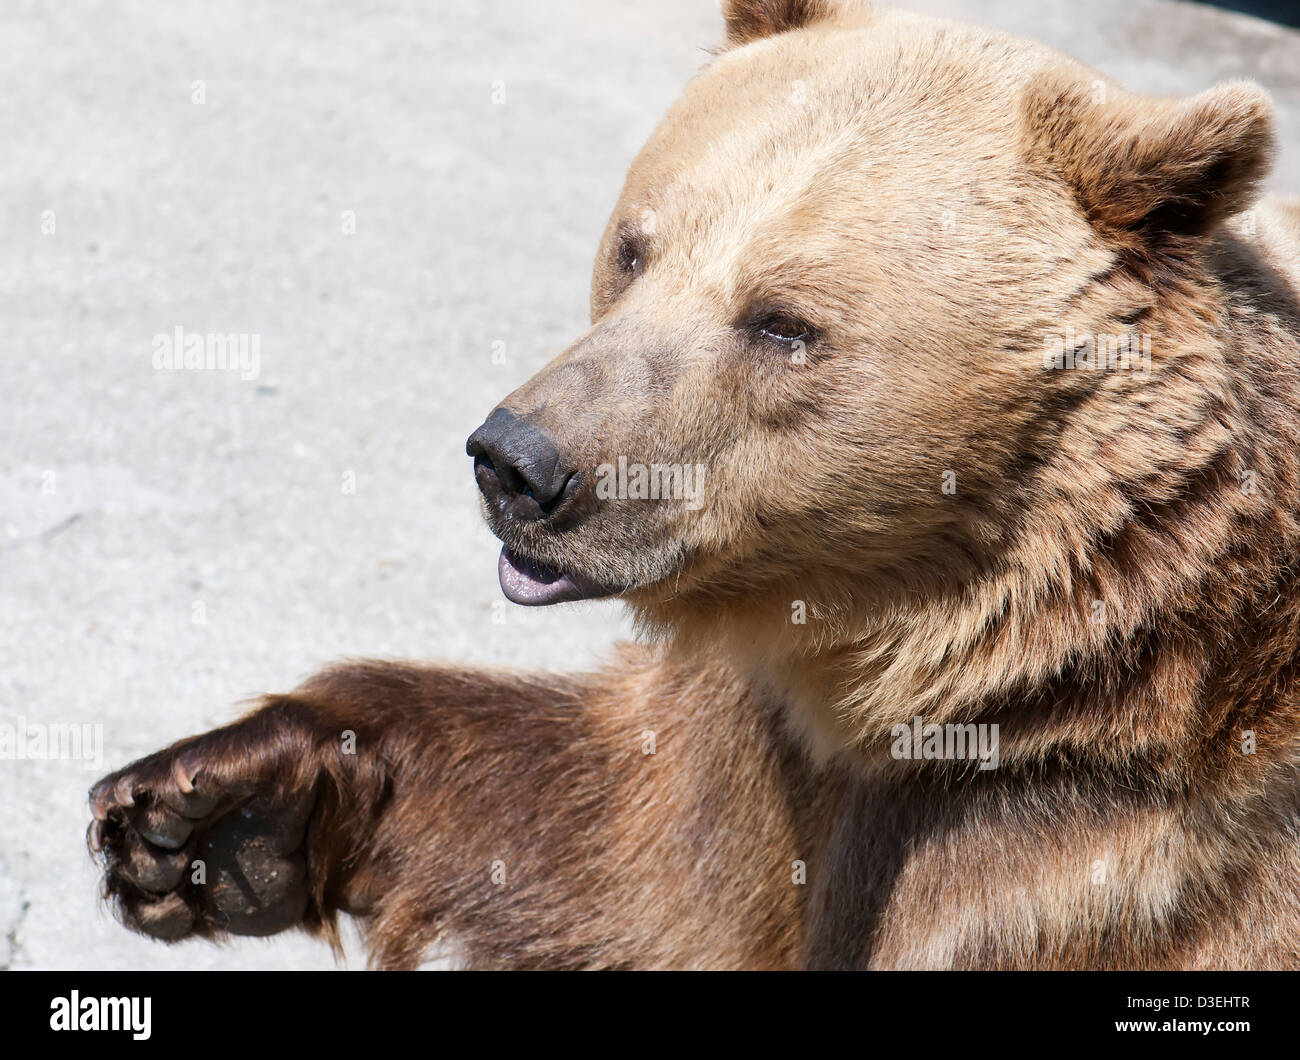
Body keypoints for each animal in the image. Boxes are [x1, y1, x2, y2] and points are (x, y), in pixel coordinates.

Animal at [89, 0, 1300, 969]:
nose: (517, 461)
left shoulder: (1072, 851)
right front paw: (204, 815)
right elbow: (628, 856)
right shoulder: (769, 762)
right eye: (634, 246)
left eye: (783, 323)